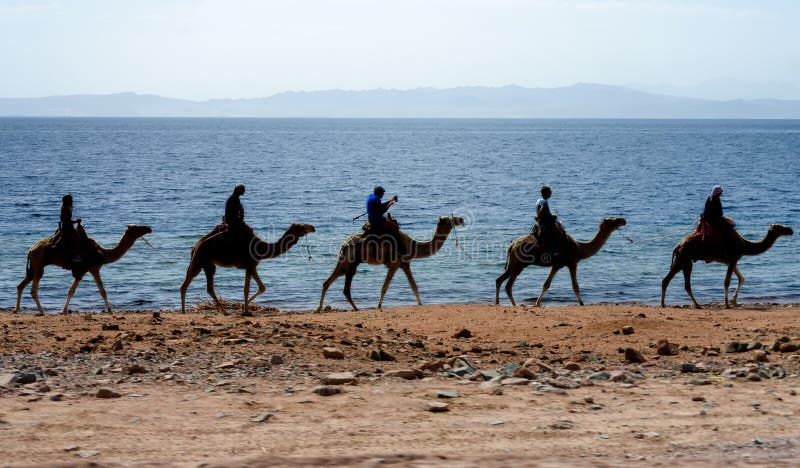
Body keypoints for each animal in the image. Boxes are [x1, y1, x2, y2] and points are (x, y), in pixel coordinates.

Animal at [14, 224, 153, 315]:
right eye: (137, 227)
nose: (149, 228)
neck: (103, 253)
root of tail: (31, 249)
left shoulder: (81, 271)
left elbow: (71, 291)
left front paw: (64, 311)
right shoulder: (94, 268)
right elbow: (102, 291)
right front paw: (109, 310)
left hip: (33, 267)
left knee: (20, 285)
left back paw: (17, 309)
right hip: (38, 264)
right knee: (33, 289)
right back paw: (42, 311)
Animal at [180, 223, 316, 315]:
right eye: (302, 227)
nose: (313, 227)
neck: (262, 248)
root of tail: (196, 245)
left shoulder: (251, 266)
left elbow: (260, 287)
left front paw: (244, 309)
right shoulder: (251, 265)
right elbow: (248, 289)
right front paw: (245, 310)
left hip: (206, 263)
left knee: (203, 286)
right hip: (201, 259)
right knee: (191, 283)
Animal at [315, 215, 466, 312]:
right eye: (449, 219)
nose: (462, 220)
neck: (413, 246)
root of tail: (344, 244)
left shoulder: (405, 264)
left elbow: (414, 286)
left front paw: (420, 303)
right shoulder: (395, 263)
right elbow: (385, 286)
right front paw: (379, 306)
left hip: (345, 262)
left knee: (328, 282)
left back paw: (319, 308)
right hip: (351, 262)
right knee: (345, 287)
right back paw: (356, 308)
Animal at [495, 217, 627, 306]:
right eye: (611, 220)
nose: (623, 220)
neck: (580, 248)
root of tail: (512, 245)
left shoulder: (557, 265)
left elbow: (546, 284)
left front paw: (537, 303)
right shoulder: (571, 263)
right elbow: (575, 286)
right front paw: (582, 303)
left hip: (514, 264)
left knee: (499, 280)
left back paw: (497, 302)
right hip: (519, 264)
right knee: (508, 285)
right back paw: (514, 305)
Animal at [661, 224, 793, 309]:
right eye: (779, 227)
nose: (790, 230)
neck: (744, 245)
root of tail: (678, 245)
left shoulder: (731, 261)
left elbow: (741, 278)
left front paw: (734, 301)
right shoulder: (733, 258)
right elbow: (727, 281)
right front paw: (727, 304)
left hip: (682, 261)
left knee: (667, 280)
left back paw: (663, 304)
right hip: (685, 260)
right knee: (685, 284)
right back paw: (697, 305)